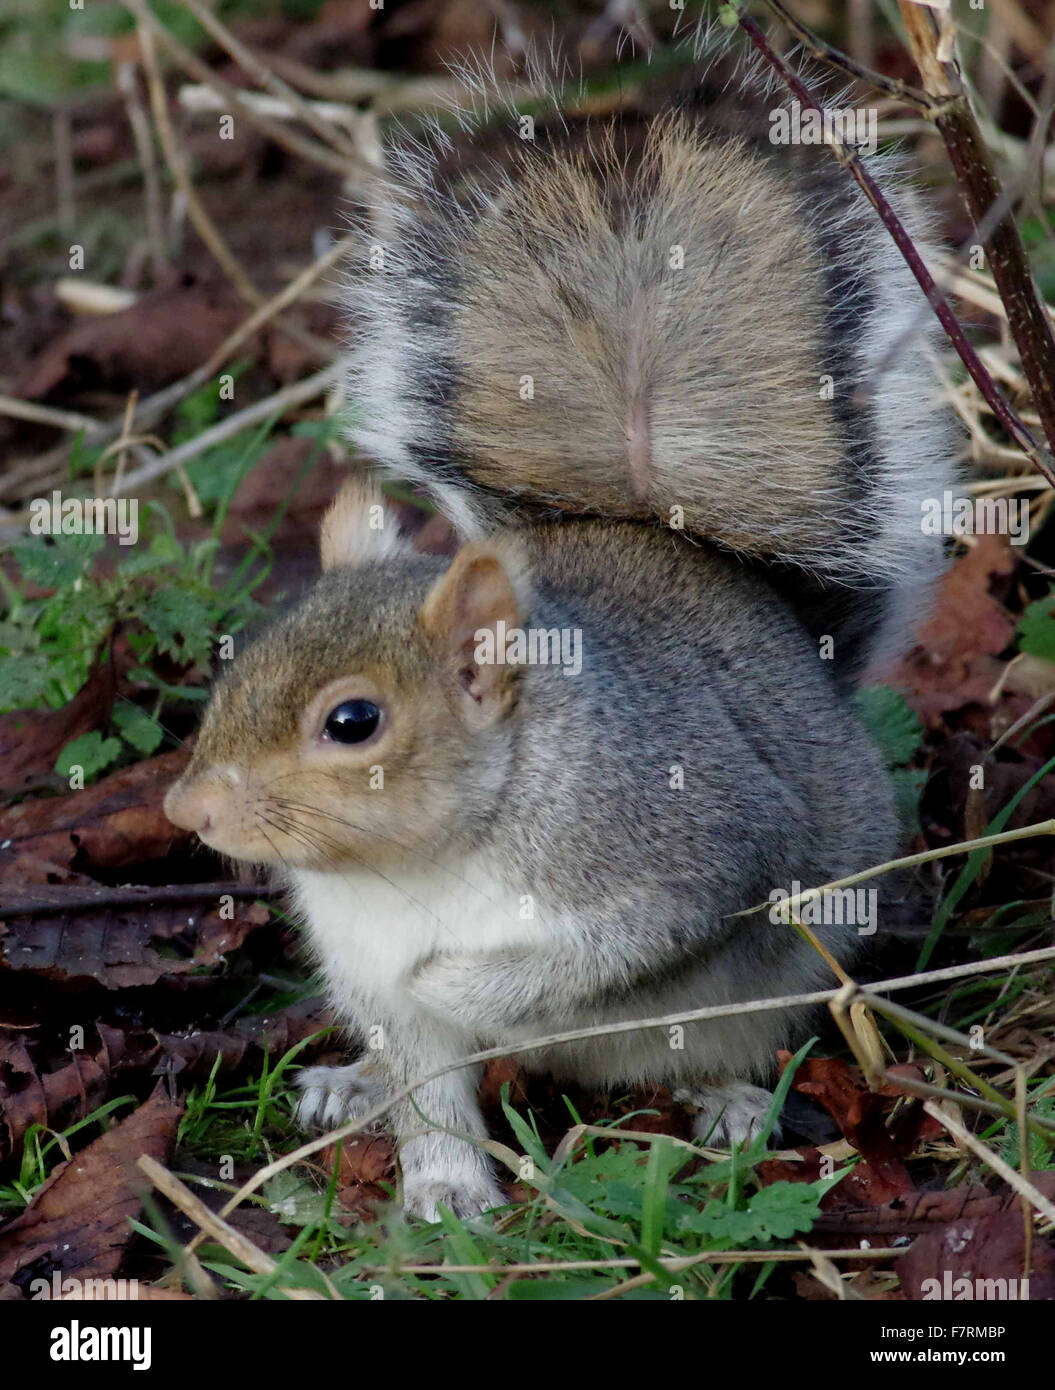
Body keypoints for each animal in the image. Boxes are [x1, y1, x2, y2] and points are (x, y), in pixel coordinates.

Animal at [164, 45, 955, 1222]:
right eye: (238, 668)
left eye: (352, 722)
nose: (189, 809)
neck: (426, 859)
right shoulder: (371, 976)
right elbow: (429, 1091)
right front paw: (445, 1194)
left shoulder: (683, 856)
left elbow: (590, 956)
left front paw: (461, 981)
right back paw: (349, 1085)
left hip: (782, 969)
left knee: (737, 1045)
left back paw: (727, 1108)